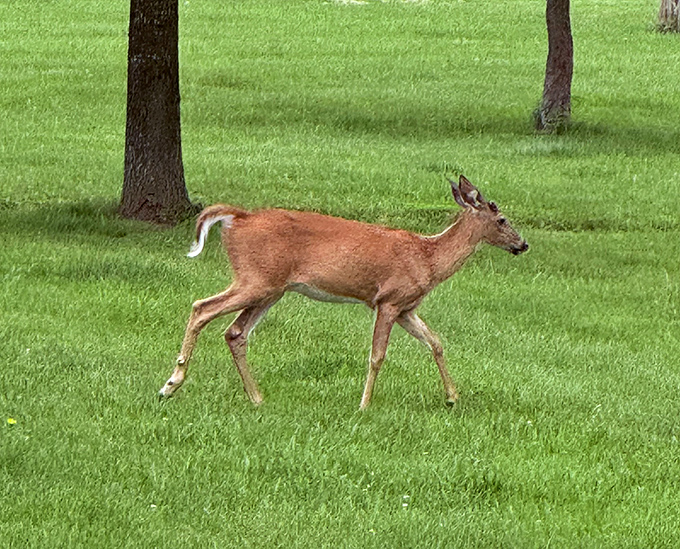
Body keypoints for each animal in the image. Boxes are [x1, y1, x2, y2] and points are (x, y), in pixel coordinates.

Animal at [159, 175, 528, 409]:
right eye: (502, 220)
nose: (523, 244)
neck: (428, 258)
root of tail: (238, 217)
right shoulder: (387, 300)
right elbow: (377, 355)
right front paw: (364, 405)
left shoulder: (407, 308)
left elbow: (436, 342)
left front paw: (452, 397)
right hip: (255, 279)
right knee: (201, 307)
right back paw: (170, 384)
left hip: (271, 288)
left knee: (234, 332)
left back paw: (257, 398)